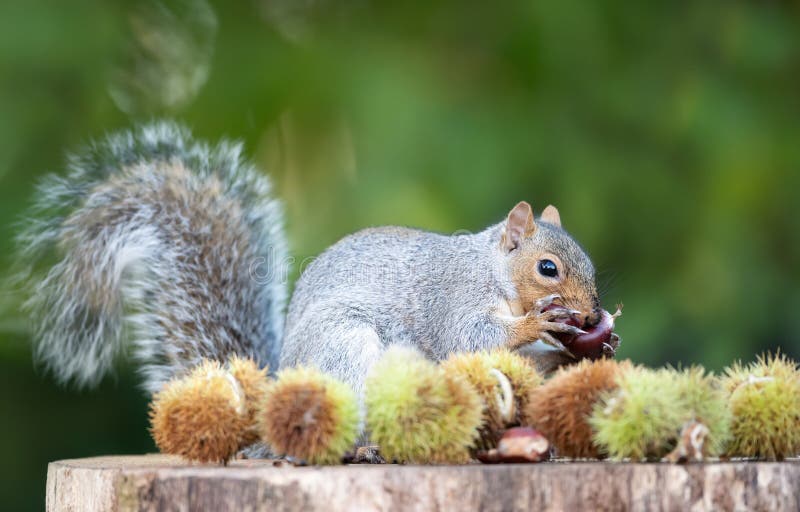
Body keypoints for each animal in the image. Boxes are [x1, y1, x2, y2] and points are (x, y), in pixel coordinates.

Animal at [16, 121, 616, 399]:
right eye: (547, 268)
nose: (590, 315)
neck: (492, 273)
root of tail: (282, 381)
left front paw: (580, 348)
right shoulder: (451, 298)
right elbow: (469, 337)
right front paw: (539, 324)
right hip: (343, 347)